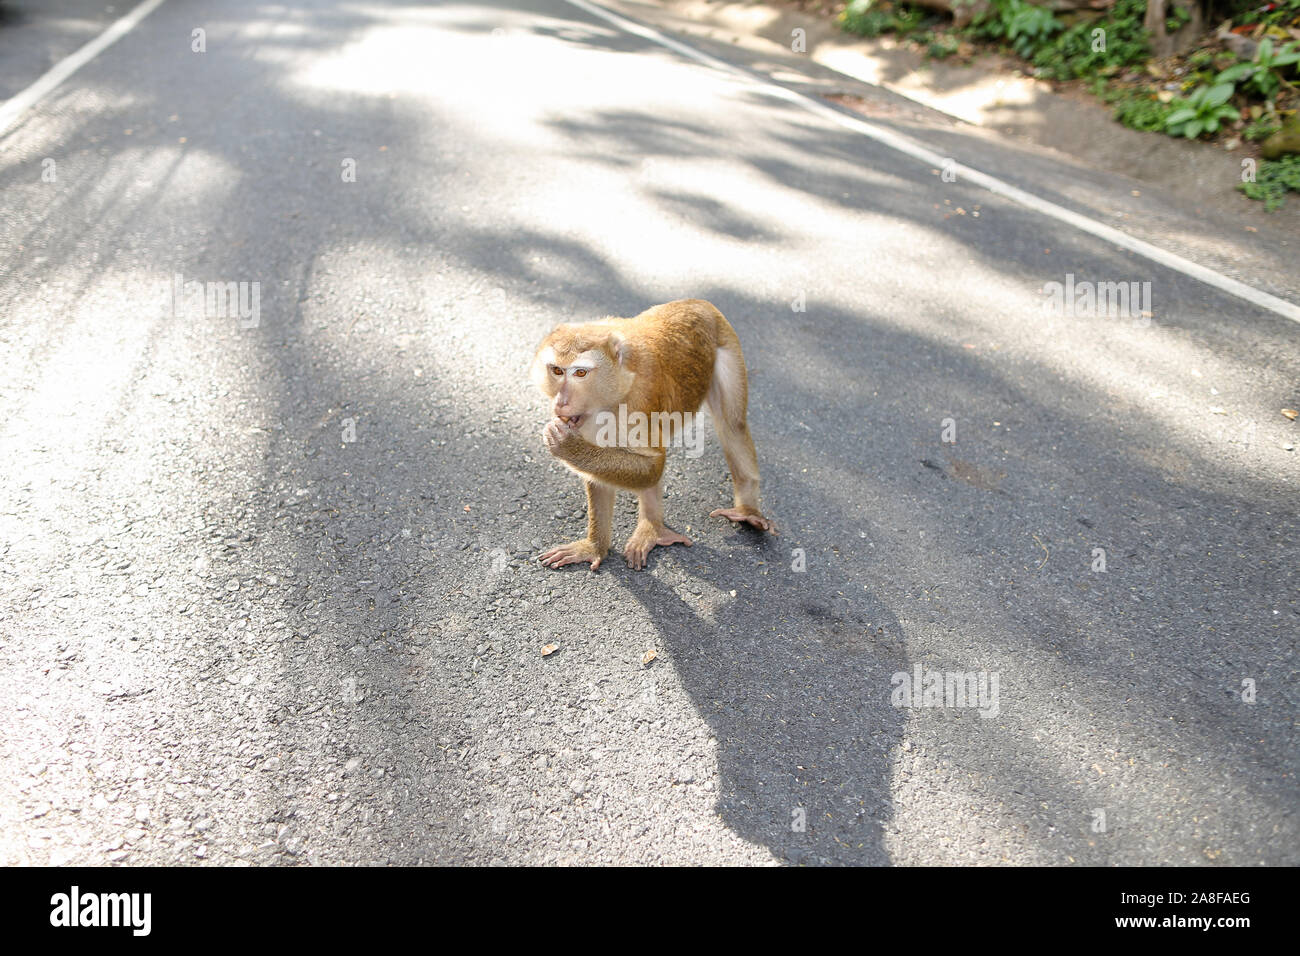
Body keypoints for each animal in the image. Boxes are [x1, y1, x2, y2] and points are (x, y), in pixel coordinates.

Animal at [531, 299, 774, 571]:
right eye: (557, 370)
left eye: (580, 373)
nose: (561, 402)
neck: (619, 384)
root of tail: (696, 302)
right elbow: (604, 477)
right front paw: (594, 547)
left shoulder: (638, 402)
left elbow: (653, 465)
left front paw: (569, 447)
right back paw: (654, 529)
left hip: (727, 343)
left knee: (733, 424)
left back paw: (747, 512)